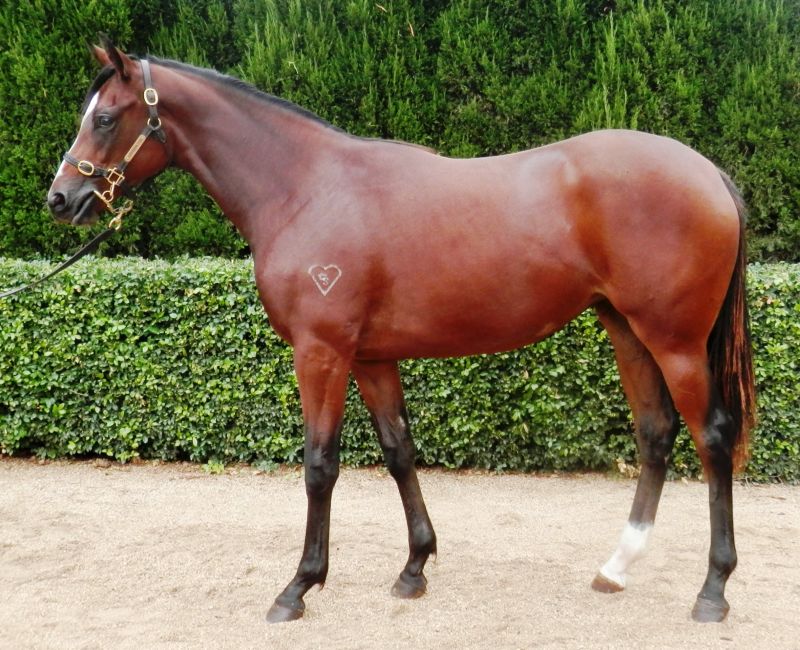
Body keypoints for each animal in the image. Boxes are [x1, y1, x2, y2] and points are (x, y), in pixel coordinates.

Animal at [47, 37, 755, 624]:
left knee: (712, 438)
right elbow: (398, 452)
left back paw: (713, 590)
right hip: (627, 329)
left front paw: (298, 587)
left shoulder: (322, 353)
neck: (305, 188)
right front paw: (414, 568)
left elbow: (320, 465)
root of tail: (710, 174)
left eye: (105, 117)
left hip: (675, 343)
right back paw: (616, 567)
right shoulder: (370, 358)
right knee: (656, 433)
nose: (60, 199)